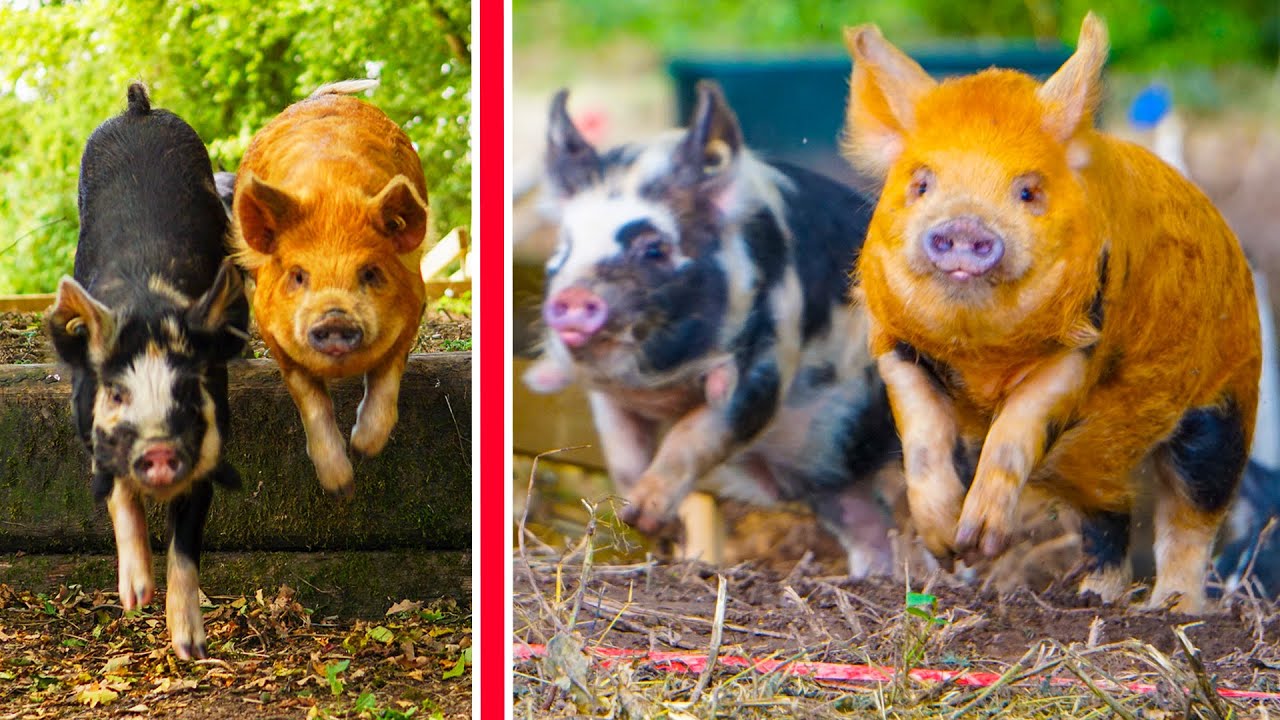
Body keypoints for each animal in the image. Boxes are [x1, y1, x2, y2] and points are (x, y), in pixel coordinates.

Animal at [47, 83, 249, 658]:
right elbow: (117, 493)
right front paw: (135, 598)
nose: (159, 449)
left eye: (187, 390)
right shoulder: (88, 424)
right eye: (117, 393)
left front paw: (190, 648)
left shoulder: (211, 442)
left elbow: (186, 541)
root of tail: (140, 111)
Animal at [229, 80, 429, 496]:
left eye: (369, 272)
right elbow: (311, 400)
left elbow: (386, 380)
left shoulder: (415, 305)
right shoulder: (273, 332)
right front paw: (341, 486)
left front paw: (364, 450)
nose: (335, 317)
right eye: (298, 275)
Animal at [525, 81, 903, 578]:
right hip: (835, 476)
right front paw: (647, 523)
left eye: (654, 248)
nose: (571, 297)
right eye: (563, 251)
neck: (661, 385)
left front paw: (648, 514)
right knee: (874, 530)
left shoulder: (766, 365)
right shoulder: (609, 399)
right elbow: (624, 455)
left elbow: (694, 437)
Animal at [843, 13, 1261, 613]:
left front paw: (980, 539)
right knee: (1108, 518)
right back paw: (1095, 596)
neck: (980, 354)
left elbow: (1018, 425)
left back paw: (1171, 609)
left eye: (1028, 191)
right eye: (921, 183)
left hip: (1226, 403)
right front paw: (949, 546)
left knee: (1192, 515)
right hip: (1095, 462)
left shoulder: (1079, 348)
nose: (965, 224)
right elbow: (922, 440)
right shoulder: (899, 351)